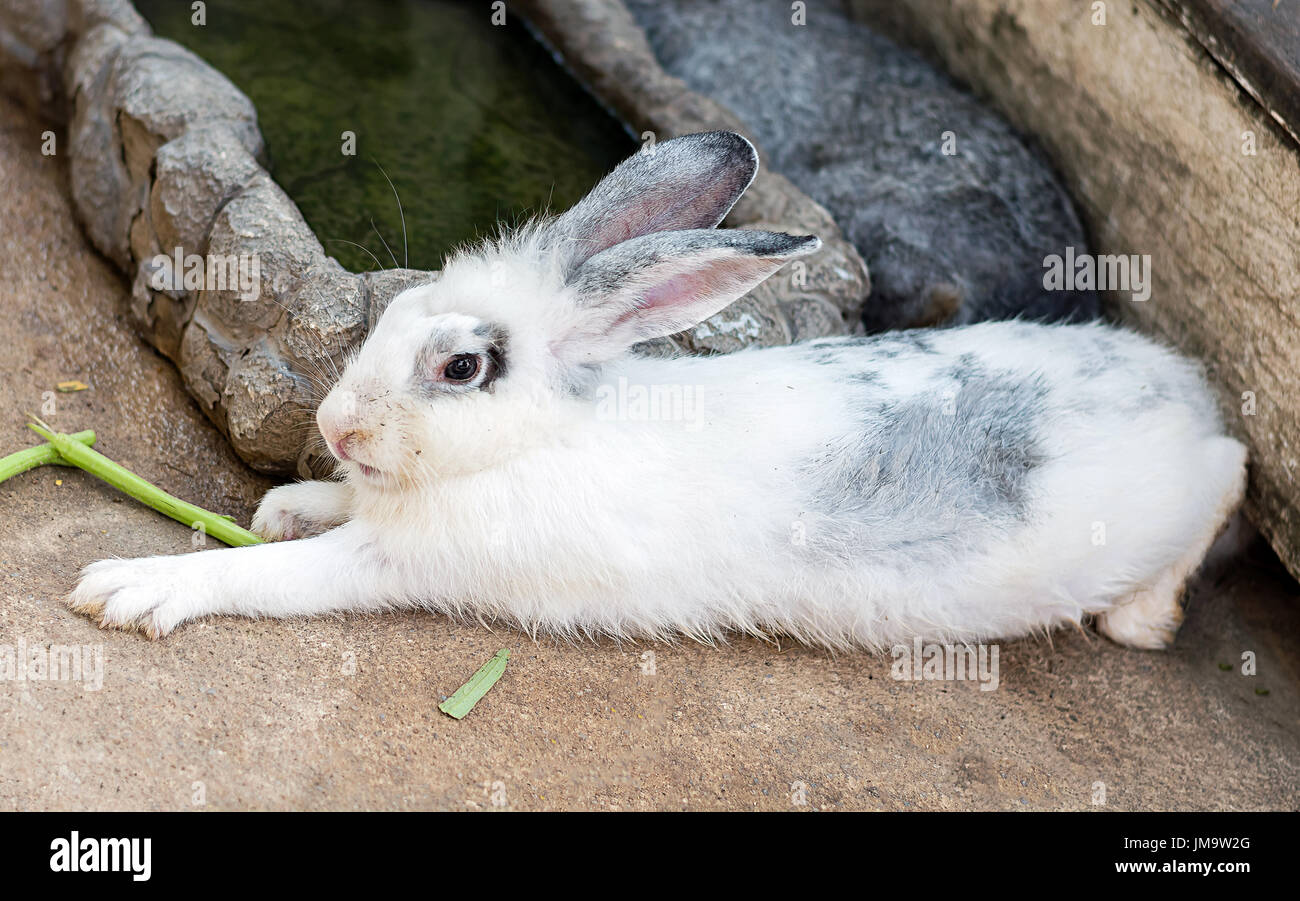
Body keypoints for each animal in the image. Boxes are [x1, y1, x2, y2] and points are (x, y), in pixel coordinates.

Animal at [69, 131, 1246, 652]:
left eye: (462, 367)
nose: (335, 423)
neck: (538, 439)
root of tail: (1184, 393)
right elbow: (318, 516)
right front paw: (282, 502)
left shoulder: (407, 562)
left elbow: (286, 576)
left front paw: (130, 587)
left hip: (1178, 499)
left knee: (1233, 475)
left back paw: (1142, 621)